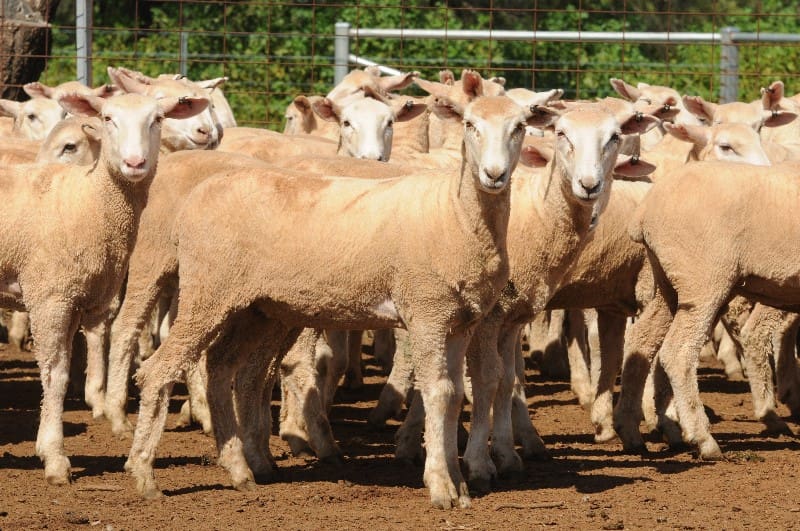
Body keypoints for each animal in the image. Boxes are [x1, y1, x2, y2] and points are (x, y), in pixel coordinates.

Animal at [0, 90, 208, 486]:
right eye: (108, 118)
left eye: (158, 119)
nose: (134, 162)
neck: (88, 200)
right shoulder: (49, 298)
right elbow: (55, 376)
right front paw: (55, 459)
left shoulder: (80, 300)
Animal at [125, 70, 554, 509]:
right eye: (471, 125)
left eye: (520, 127)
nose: (494, 175)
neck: (455, 212)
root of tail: (197, 197)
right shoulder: (426, 311)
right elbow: (438, 392)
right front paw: (440, 486)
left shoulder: (460, 321)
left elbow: (452, 397)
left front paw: (460, 485)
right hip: (207, 292)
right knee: (158, 370)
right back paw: (144, 474)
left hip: (257, 307)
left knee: (224, 369)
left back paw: (241, 469)